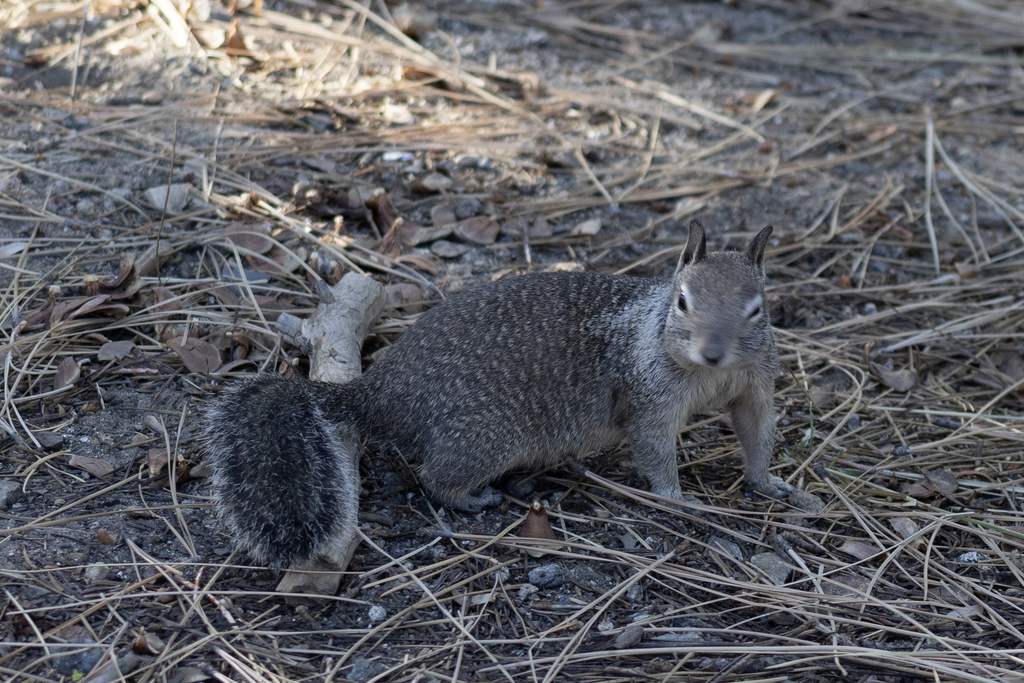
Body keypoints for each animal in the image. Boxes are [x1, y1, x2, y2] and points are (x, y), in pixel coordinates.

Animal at [203, 219, 792, 568]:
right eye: (683, 301)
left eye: (758, 308)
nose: (713, 353)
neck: (708, 374)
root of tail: (381, 392)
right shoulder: (649, 397)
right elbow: (654, 450)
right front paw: (675, 497)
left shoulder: (755, 384)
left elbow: (757, 432)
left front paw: (768, 483)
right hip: (486, 437)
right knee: (434, 476)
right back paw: (473, 498)